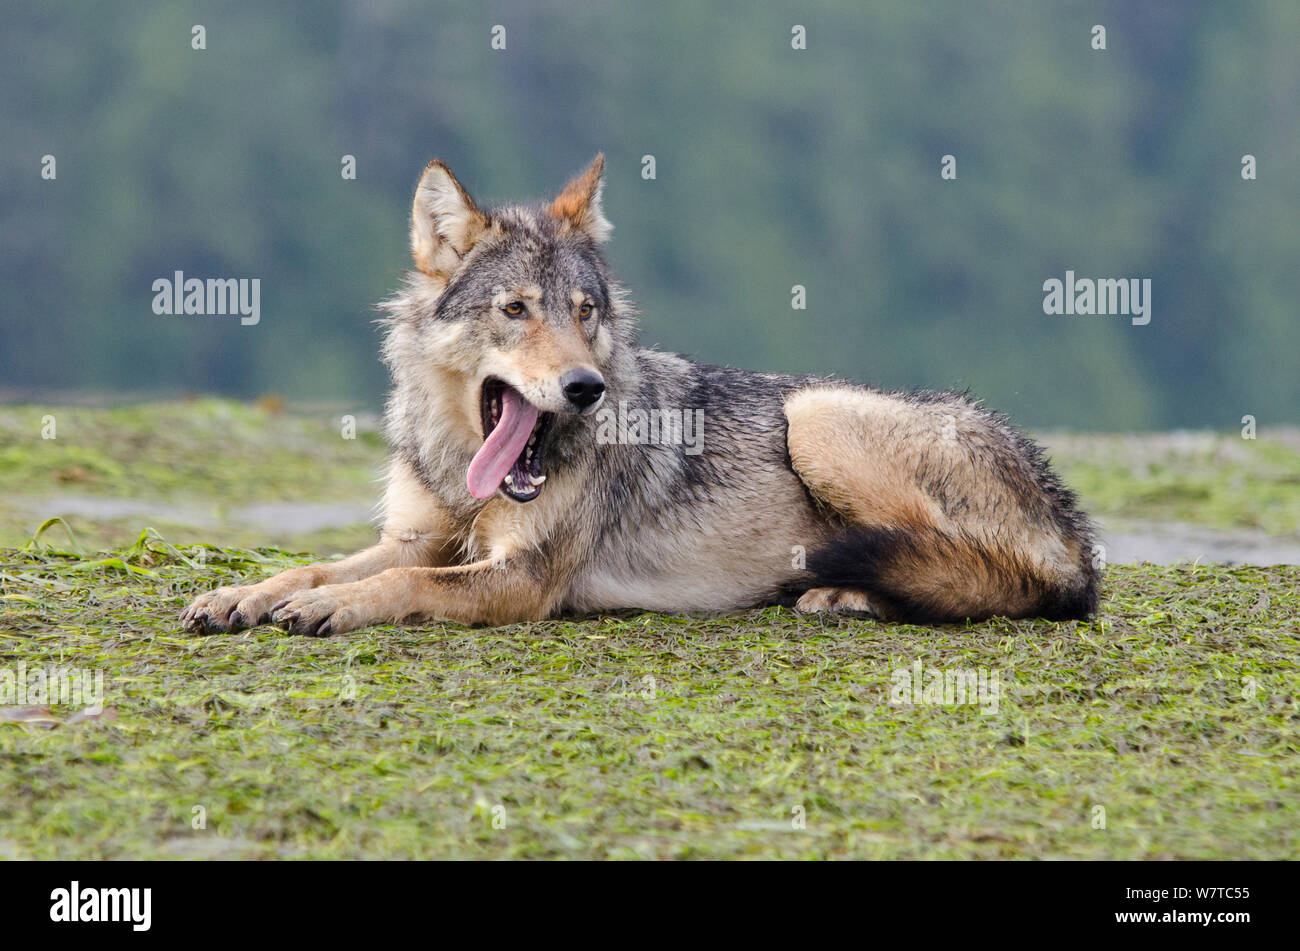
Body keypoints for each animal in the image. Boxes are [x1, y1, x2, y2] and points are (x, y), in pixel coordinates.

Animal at [181, 155, 1099, 636]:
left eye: (585, 313)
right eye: (516, 311)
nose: (584, 387)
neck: (463, 469)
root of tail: (1075, 525)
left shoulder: (521, 580)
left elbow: (398, 586)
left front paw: (327, 605)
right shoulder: (421, 536)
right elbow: (320, 560)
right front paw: (245, 593)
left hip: (816, 414)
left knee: (990, 578)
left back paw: (847, 590)